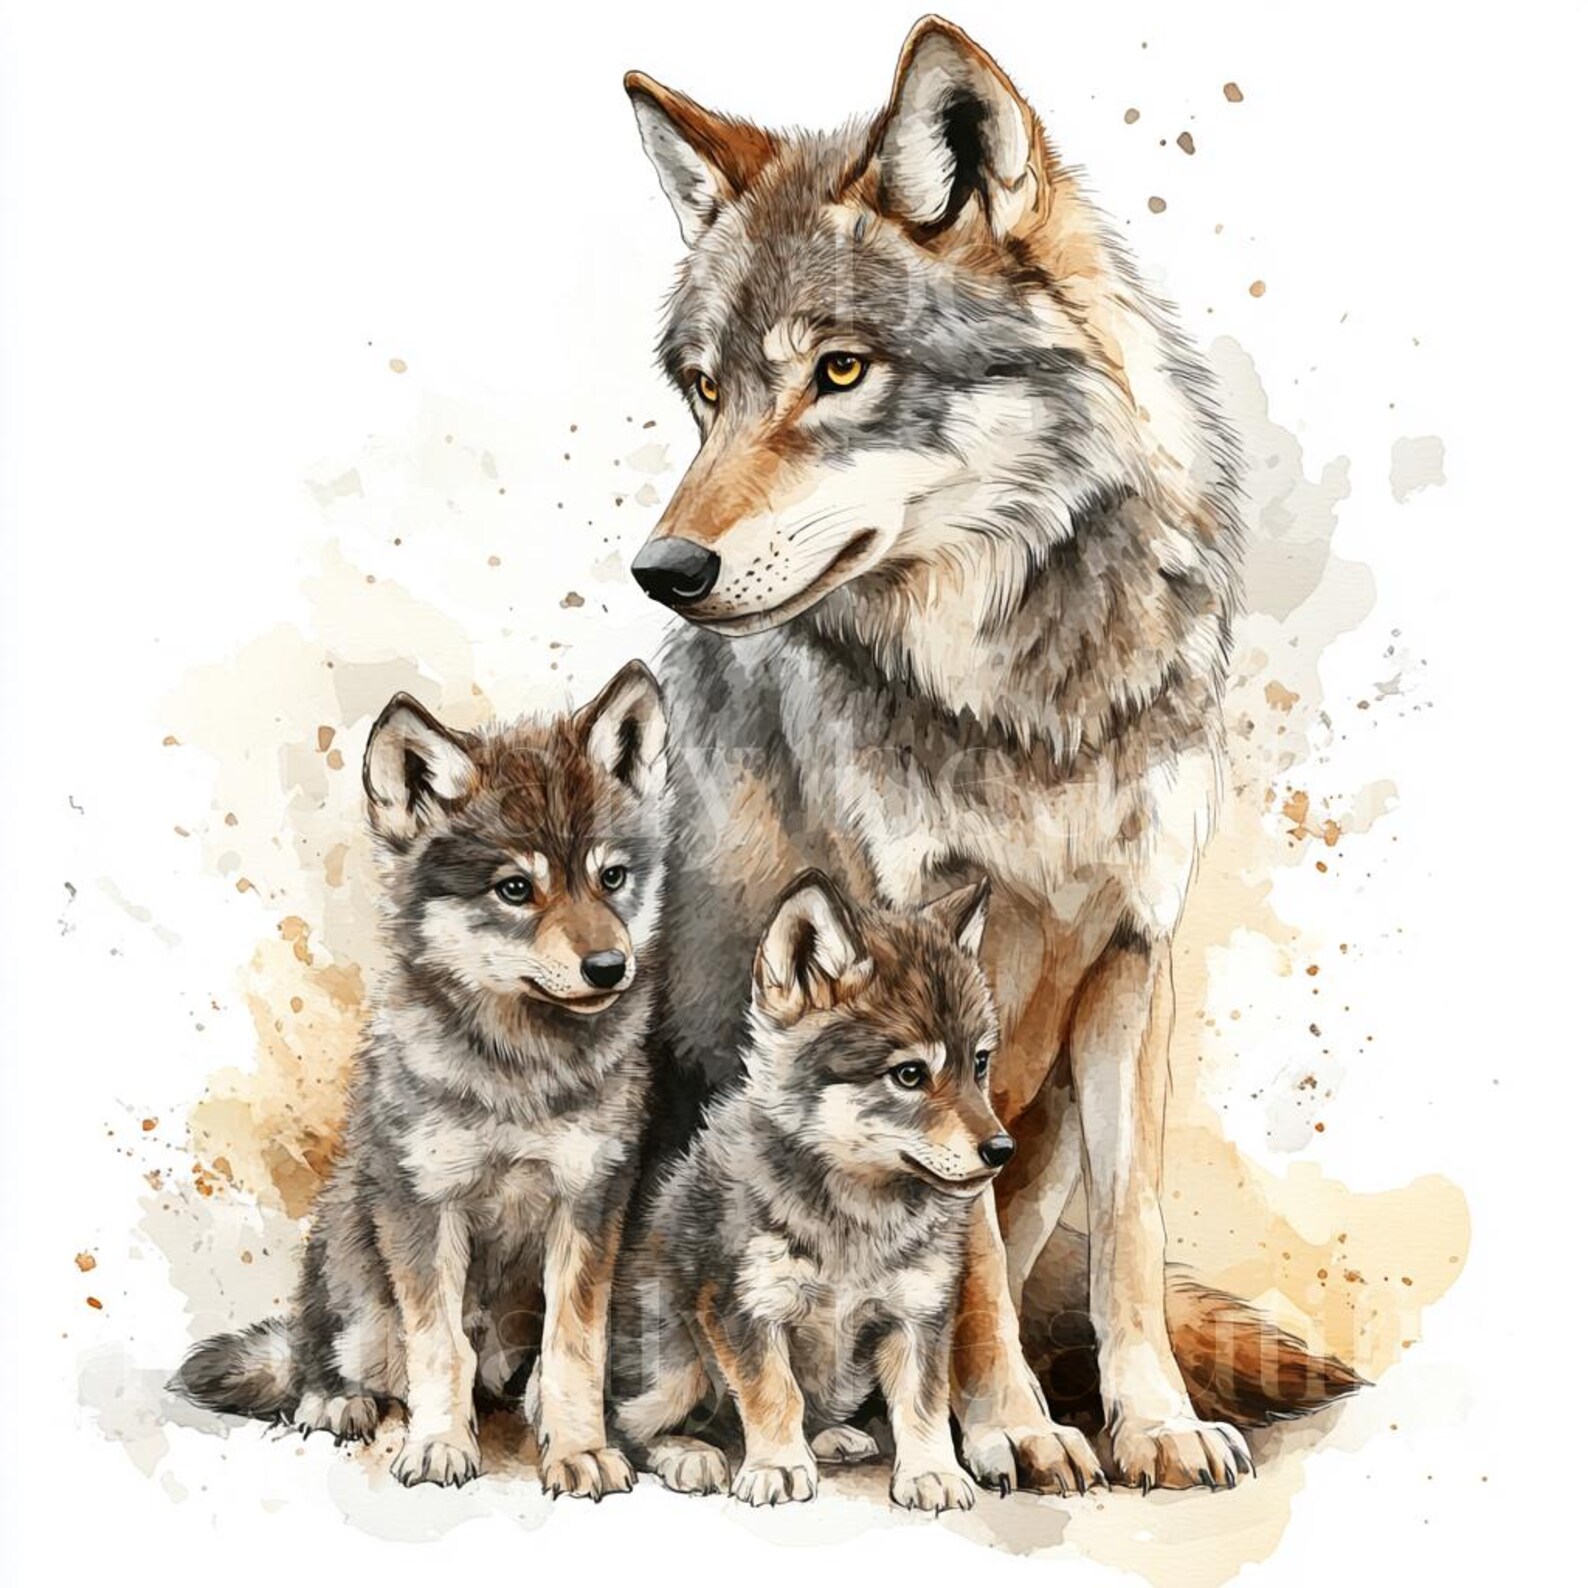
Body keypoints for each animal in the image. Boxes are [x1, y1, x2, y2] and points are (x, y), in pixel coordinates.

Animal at [173, 661, 667, 1497]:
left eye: (612, 877)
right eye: (515, 889)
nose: (609, 967)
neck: (521, 1072)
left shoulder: (591, 1203)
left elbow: (574, 1350)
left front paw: (578, 1450)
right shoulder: (422, 1207)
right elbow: (437, 1347)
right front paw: (439, 1445)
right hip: (352, 1268)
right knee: (329, 1358)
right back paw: (338, 1403)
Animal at [613, 870, 1015, 1513]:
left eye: (978, 1064)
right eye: (909, 1074)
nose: (1002, 1150)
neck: (859, 1216)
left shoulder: (918, 1314)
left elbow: (921, 1403)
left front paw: (931, 1471)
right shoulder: (746, 1308)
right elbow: (775, 1393)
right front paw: (777, 1466)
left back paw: (830, 1437)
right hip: (673, 1366)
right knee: (625, 1423)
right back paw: (689, 1454)